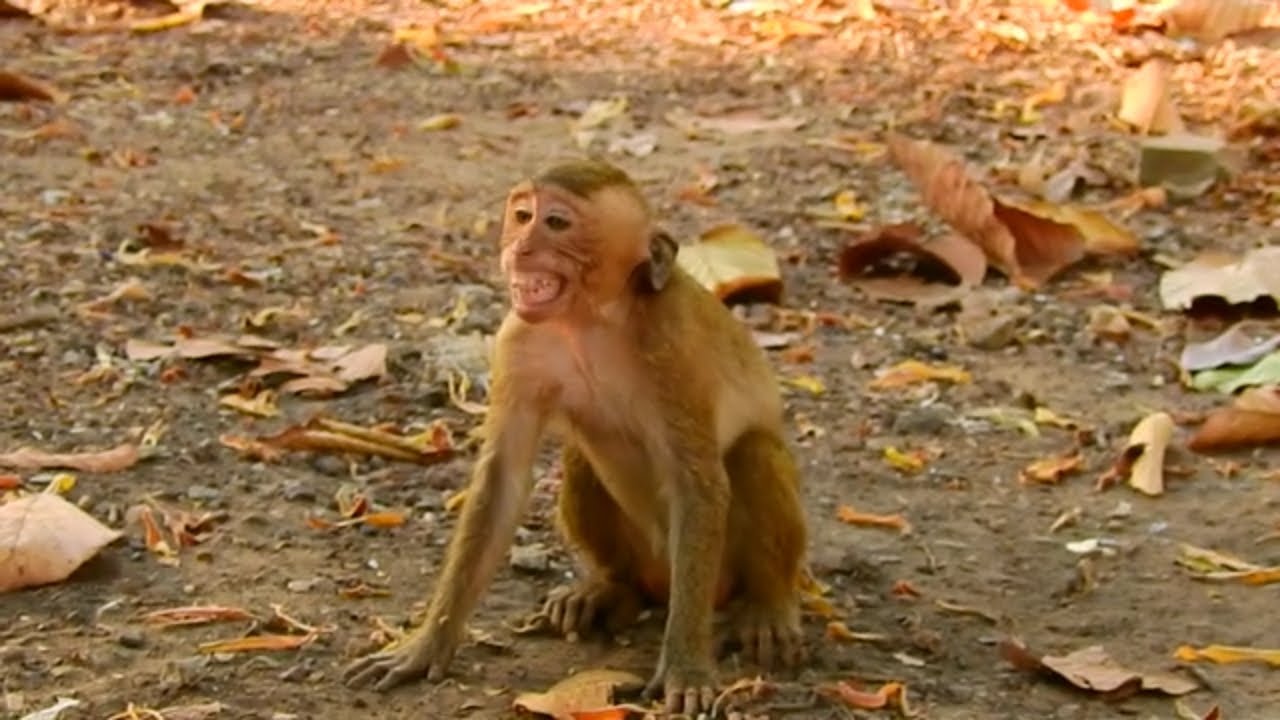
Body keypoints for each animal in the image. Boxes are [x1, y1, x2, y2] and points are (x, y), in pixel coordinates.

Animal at [343, 159, 808, 716]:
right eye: (523, 216)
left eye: (558, 223)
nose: (520, 247)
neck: (591, 318)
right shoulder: (518, 339)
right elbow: (502, 478)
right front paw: (428, 644)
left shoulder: (670, 345)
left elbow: (697, 486)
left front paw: (686, 667)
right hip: (645, 563)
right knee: (581, 461)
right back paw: (609, 589)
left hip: (720, 576)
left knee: (753, 454)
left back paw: (767, 604)